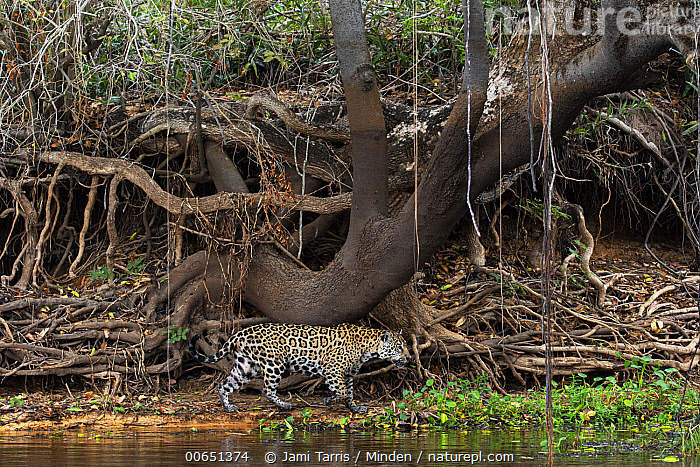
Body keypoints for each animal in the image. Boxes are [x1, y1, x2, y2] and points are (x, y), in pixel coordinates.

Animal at [188, 322, 407, 413]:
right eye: (399, 347)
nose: (409, 357)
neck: (368, 347)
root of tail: (240, 332)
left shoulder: (348, 374)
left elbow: (349, 393)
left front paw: (354, 408)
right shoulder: (333, 371)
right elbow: (342, 392)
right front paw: (328, 400)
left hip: (246, 366)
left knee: (224, 385)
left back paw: (228, 407)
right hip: (274, 364)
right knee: (266, 390)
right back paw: (284, 405)